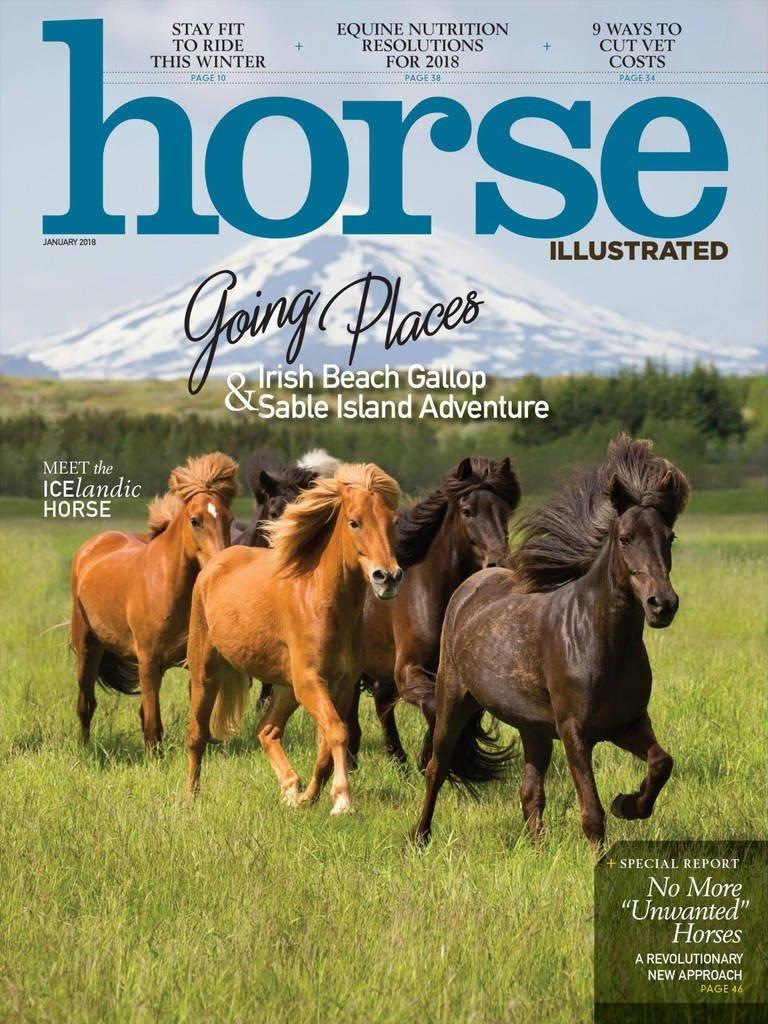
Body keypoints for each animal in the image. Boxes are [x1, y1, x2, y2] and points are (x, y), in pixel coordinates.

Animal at [70, 453, 239, 749]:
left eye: (229, 520)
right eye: (195, 520)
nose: (220, 564)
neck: (168, 588)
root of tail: (91, 547)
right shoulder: (148, 661)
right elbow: (152, 723)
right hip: (88, 648)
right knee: (86, 704)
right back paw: (85, 747)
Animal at [185, 463, 403, 814]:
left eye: (393, 522)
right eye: (354, 522)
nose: (388, 577)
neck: (320, 600)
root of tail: (213, 566)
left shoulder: (341, 685)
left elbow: (326, 745)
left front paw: (310, 797)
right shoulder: (311, 681)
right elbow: (338, 732)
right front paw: (342, 801)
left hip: (286, 688)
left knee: (266, 731)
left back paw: (291, 789)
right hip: (206, 673)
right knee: (198, 735)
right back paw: (190, 797)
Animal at [346, 456, 521, 770]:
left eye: (505, 512)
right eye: (467, 511)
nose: (499, 563)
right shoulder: (409, 671)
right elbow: (434, 708)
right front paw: (434, 759)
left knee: (382, 705)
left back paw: (398, 760)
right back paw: (352, 761)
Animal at [412, 436, 689, 851]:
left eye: (668, 537)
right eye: (625, 538)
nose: (662, 604)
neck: (599, 640)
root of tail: (472, 585)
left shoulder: (629, 723)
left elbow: (662, 762)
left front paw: (628, 804)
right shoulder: (575, 732)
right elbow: (592, 812)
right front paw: (600, 852)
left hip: (534, 729)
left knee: (530, 792)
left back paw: (537, 848)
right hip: (453, 699)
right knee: (437, 767)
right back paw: (420, 837)